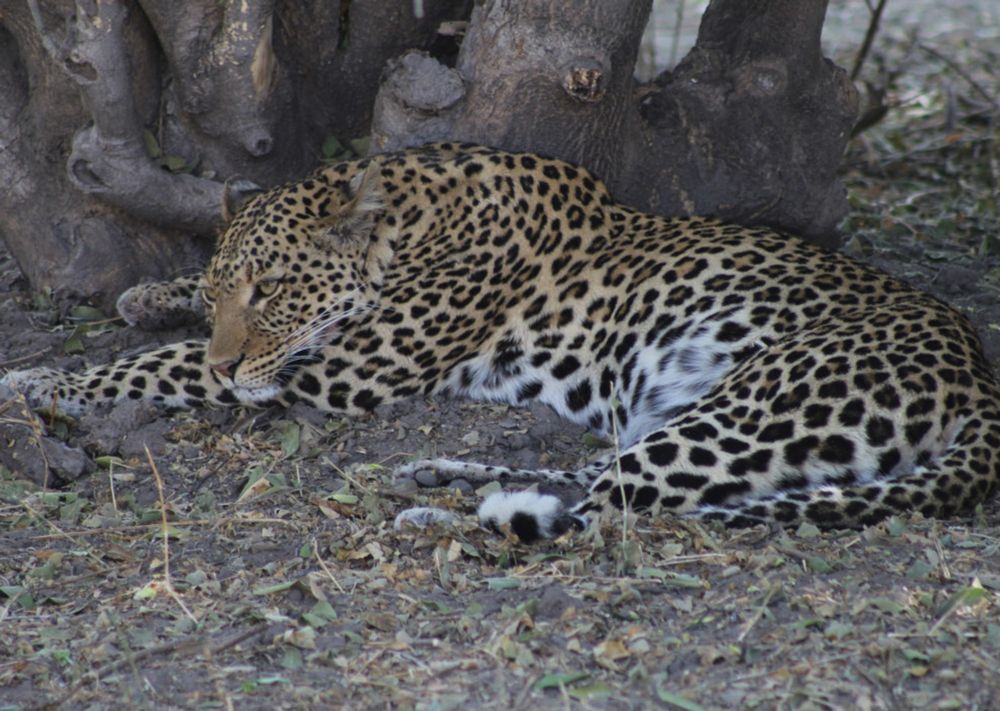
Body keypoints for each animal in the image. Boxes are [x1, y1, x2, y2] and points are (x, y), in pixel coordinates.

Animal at [5, 143, 1000, 542]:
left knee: (608, 507)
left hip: (760, 403)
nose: (227, 350)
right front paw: (150, 293)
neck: (411, 212)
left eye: (275, 291)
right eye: (222, 292)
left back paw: (439, 515)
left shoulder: (346, 368)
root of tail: (981, 369)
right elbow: (171, 329)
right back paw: (437, 473)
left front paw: (37, 381)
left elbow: (164, 368)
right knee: (598, 477)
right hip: (699, 413)